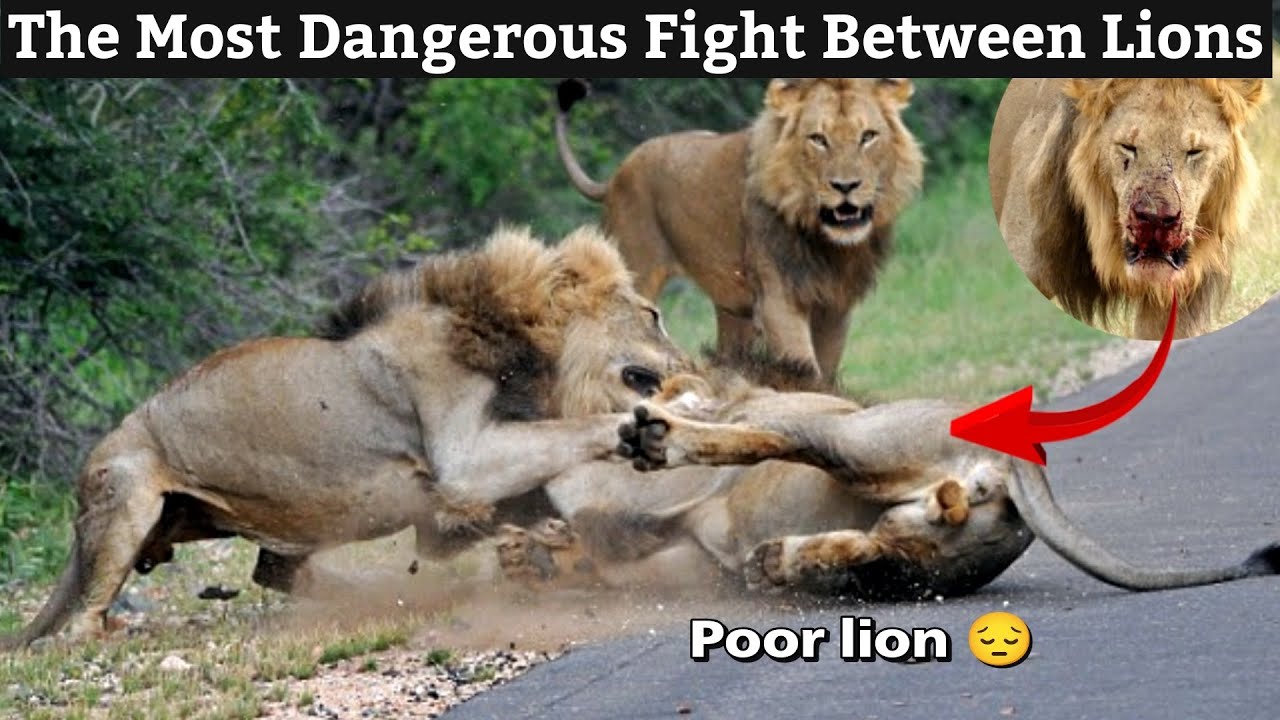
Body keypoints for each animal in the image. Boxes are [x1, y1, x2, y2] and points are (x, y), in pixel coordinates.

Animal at [1, 225, 691, 649]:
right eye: (654, 315)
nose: (692, 366)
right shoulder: (464, 460)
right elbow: (573, 433)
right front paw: (645, 431)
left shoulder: (447, 502)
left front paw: (557, 540)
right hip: (127, 497)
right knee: (77, 626)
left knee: (273, 570)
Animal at [495, 352, 1279, 599]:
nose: (647, 382)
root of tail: (1021, 461)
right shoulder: (684, 560)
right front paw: (530, 552)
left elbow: (593, 496)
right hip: (917, 553)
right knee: (872, 553)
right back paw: (776, 562)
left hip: (850, 437)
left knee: (762, 440)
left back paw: (660, 439)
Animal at [555, 78, 925, 385]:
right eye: (818, 140)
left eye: (868, 137)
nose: (845, 186)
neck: (823, 240)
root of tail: (616, 175)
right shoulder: (778, 299)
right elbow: (804, 367)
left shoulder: (836, 305)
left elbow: (827, 372)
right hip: (636, 268)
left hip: (734, 311)